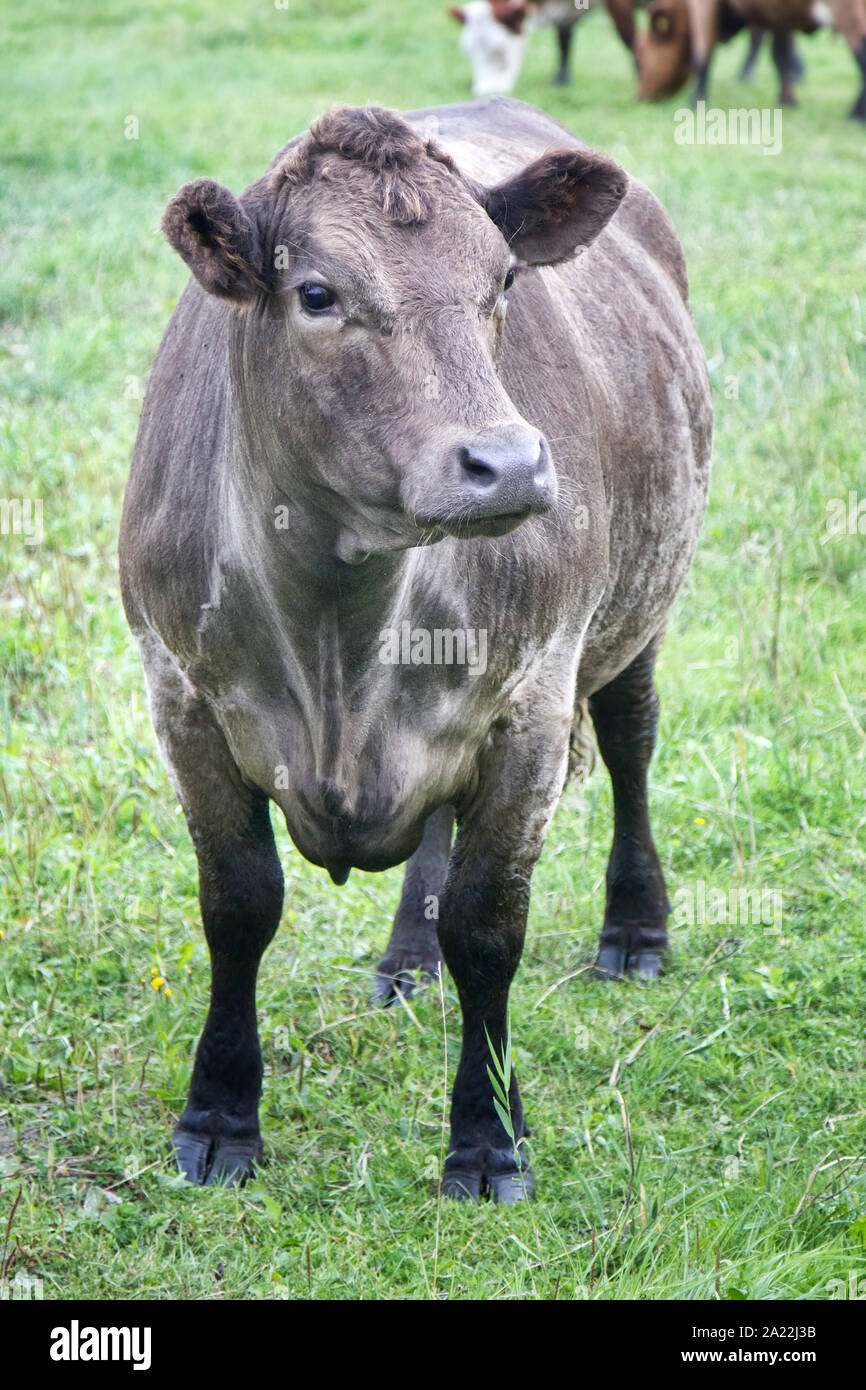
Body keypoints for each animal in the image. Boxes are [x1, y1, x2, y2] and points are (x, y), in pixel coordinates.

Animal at [119, 98, 712, 1201]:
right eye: (317, 294)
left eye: (504, 282)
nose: (509, 463)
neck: (337, 632)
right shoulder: (181, 698)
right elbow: (238, 904)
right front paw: (219, 1116)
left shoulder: (530, 709)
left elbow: (486, 926)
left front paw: (487, 1139)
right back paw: (406, 960)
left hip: (638, 609)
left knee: (631, 739)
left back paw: (634, 929)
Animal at [633, 0, 865, 116]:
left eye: (641, 55)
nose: (640, 96)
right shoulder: (780, 17)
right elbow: (782, 56)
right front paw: (788, 101)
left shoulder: (703, 5)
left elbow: (703, 54)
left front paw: (696, 101)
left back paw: (855, 114)